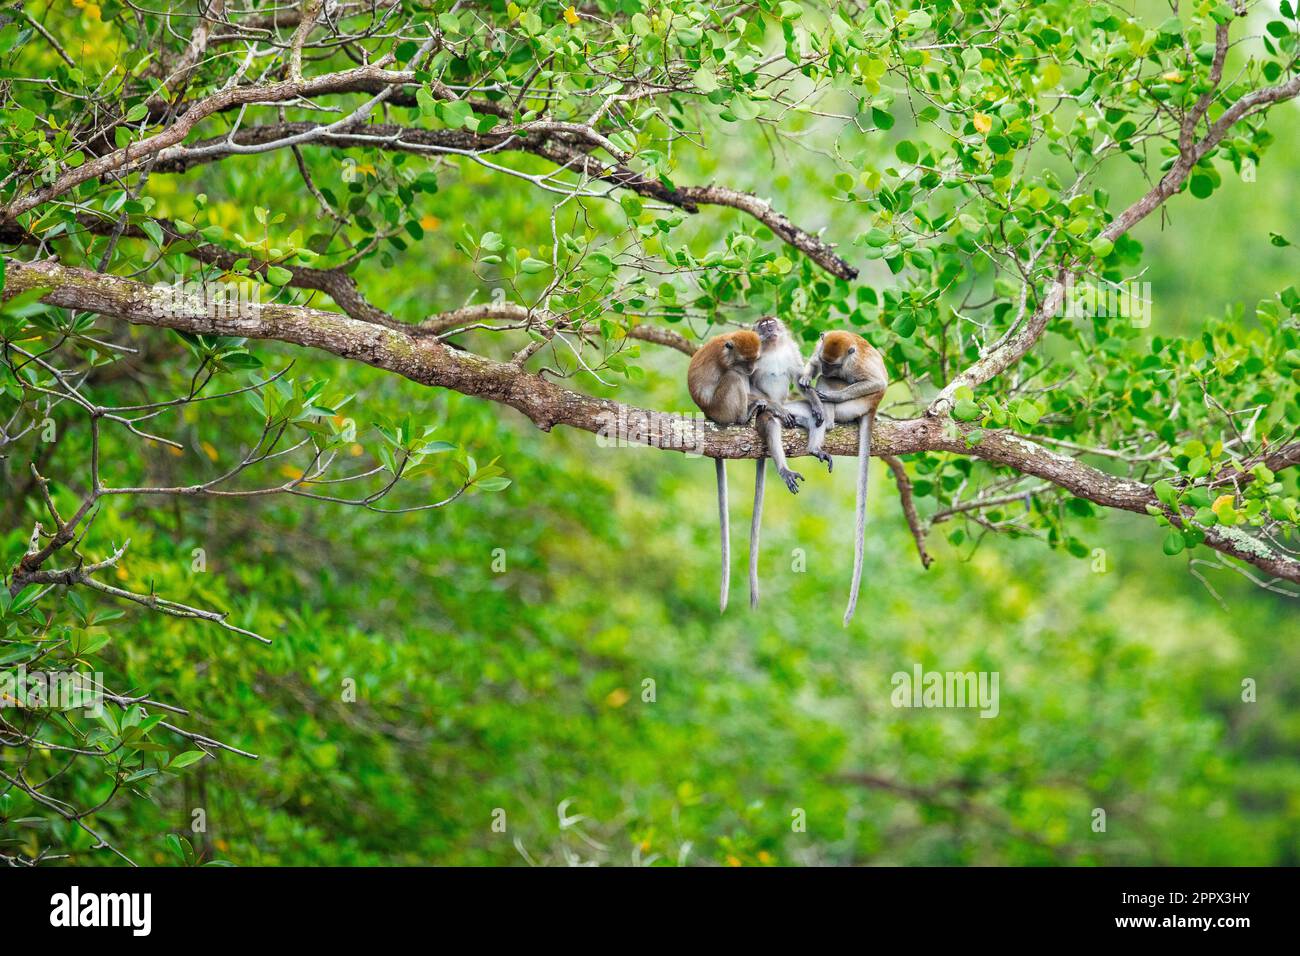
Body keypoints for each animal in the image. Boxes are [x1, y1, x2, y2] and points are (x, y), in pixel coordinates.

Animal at [688, 329, 764, 613]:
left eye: (756, 359)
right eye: (745, 360)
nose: (751, 369)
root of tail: (709, 415)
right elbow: (733, 374)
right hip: (722, 407)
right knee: (733, 378)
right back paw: (744, 416)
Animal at [746, 316, 827, 609]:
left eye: (771, 323)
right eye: (763, 325)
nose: (770, 328)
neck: (773, 349)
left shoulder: (790, 350)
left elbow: (802, 383)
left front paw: (817, 404)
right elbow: (749, 384)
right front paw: (775, 408)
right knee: (769, 420)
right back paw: (783, 467)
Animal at [797, 330, 889, 626]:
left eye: (835, 364)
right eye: (826, 361)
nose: (828, 369)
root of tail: (872, 408)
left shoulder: (856, 367)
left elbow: (876, 381)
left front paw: (827, 394)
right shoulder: (820, 348)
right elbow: (811, 364)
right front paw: (807, 376)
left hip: (858, 405)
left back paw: (827, 417)